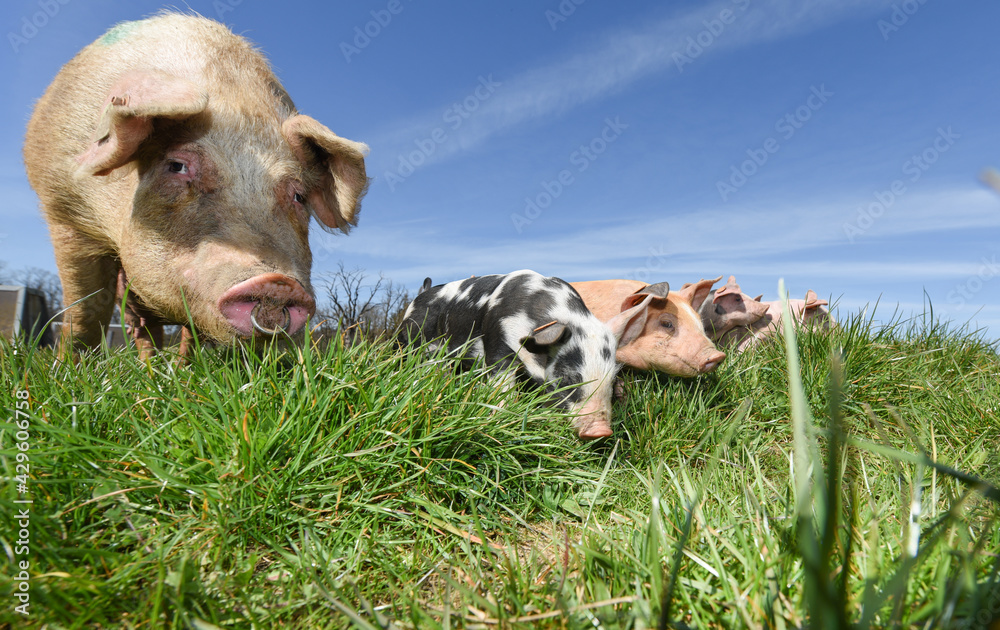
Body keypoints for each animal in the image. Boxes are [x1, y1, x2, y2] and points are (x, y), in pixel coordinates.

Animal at [23, 13, 369, 357]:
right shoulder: (64, 208)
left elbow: (193, 332)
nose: (276, 281)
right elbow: (85, 310)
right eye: (177, 166)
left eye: (298, 195)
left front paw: (186, 366)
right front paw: (69, 363)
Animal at [398, 270, 652, 439]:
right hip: (411, 342)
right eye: (568, 379)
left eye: (612, 381)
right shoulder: (497, 341)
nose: (601, 431)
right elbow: (501, 381)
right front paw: (502, 415)